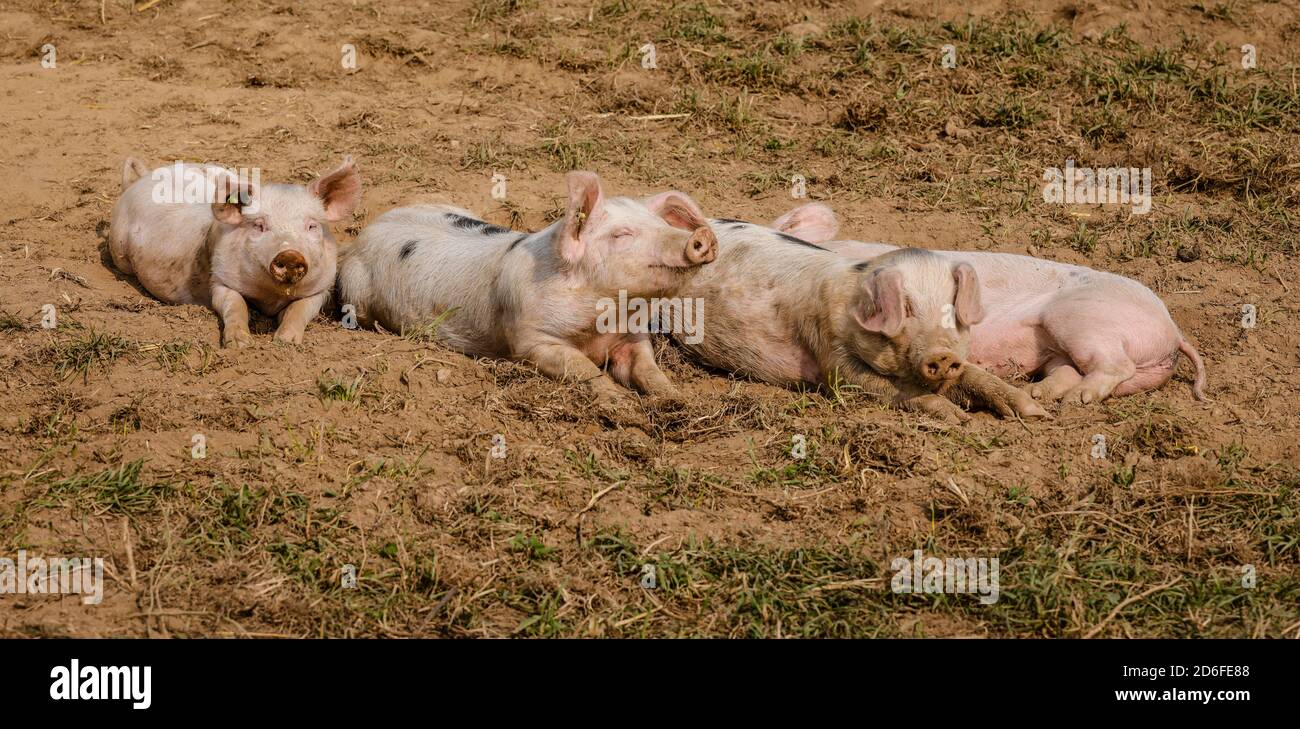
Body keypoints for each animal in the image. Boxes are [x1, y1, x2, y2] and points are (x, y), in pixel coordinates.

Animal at [108, 156, 361, 347]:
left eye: (311, 226)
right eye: (259, 225)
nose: (290, 254)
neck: (271, 296)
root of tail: (142, 178)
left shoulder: (321, 288)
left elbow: (299, 310)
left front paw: (285, 341)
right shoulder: (220, 279)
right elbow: (236, 306)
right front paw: (239, 344)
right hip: (117, 247)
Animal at [336, 171, 717, 414]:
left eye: (662, 225)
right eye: (621, 234)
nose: (702, 236)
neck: (601, 322)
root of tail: (366, 232)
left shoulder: (632, 337)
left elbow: (647, 369)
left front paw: (677, 399)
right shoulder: (530, 339)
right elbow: (582, 368)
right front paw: (623, 405)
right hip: (356, 295)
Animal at [667, 207, 1048, 424]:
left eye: (951, 308)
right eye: (906, 308)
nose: (941, 354)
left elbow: (973, 374)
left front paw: (1034, 411)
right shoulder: (828, 344)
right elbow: (879, 386)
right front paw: (955, 418)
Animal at [773, 204, 1207, 405]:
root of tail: (1172, 332)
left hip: (1081, 318)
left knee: (1115, 366)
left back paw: (1075, 400)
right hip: (1057, 344)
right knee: (1068, 369)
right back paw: (1040, 396)